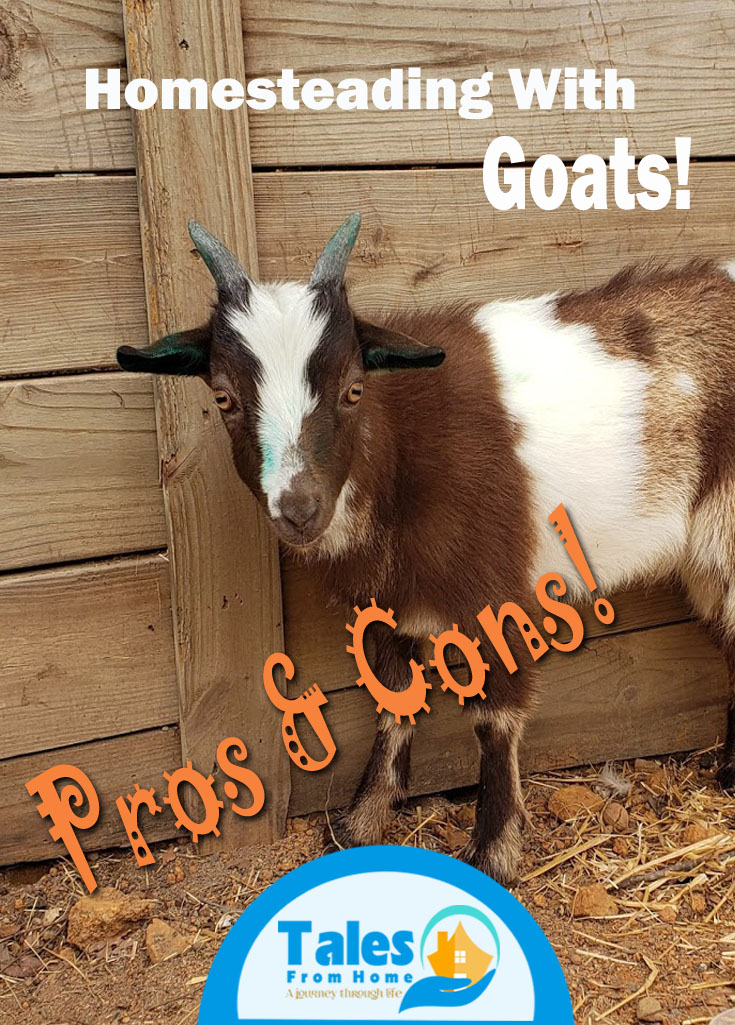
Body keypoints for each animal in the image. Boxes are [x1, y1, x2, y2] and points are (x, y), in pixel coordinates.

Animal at [118, 215, 735, 884]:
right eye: (224, 397)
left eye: (354, 389)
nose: (299, 508)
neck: (397, 462)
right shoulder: (389, 604)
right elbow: (392, 704)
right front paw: (361, 824)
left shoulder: (495, 595)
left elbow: (495, 720)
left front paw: (494, 852)